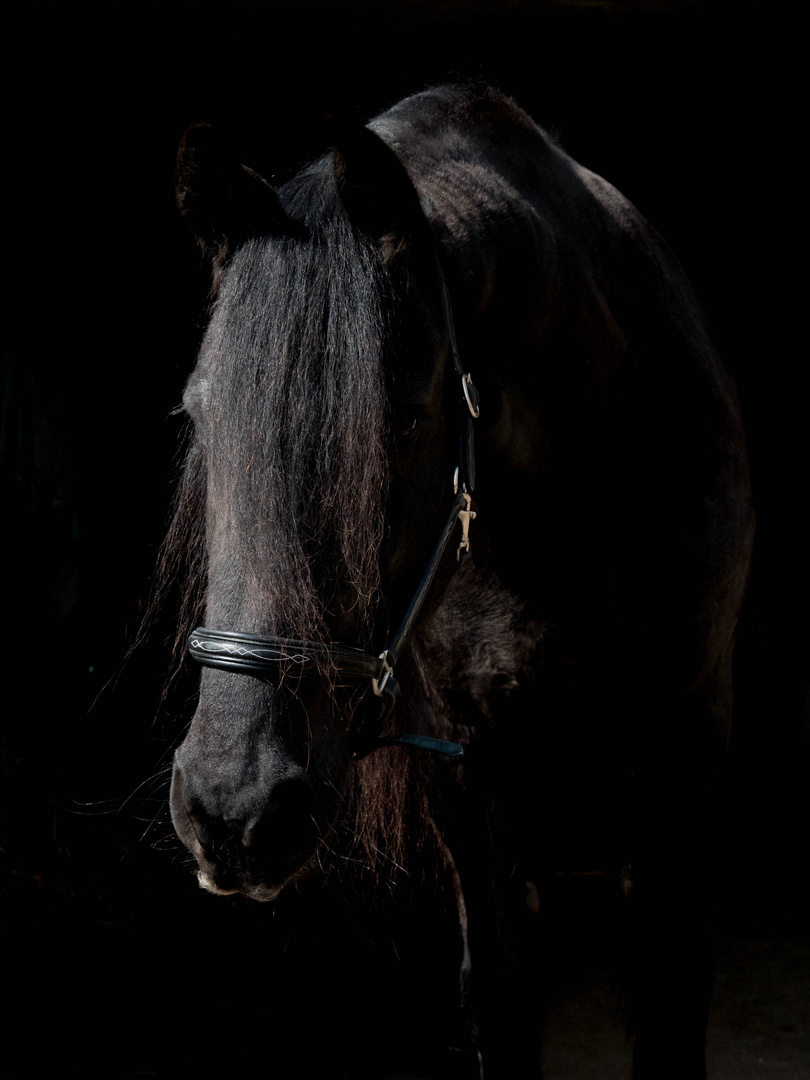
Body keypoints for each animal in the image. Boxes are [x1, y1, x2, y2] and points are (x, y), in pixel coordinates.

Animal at [165, 84, 754, 1078]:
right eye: (199, 413)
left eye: (401, 422)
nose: (231, 808)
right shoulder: (473, 794)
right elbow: (502, 1000)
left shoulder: (688, 782)